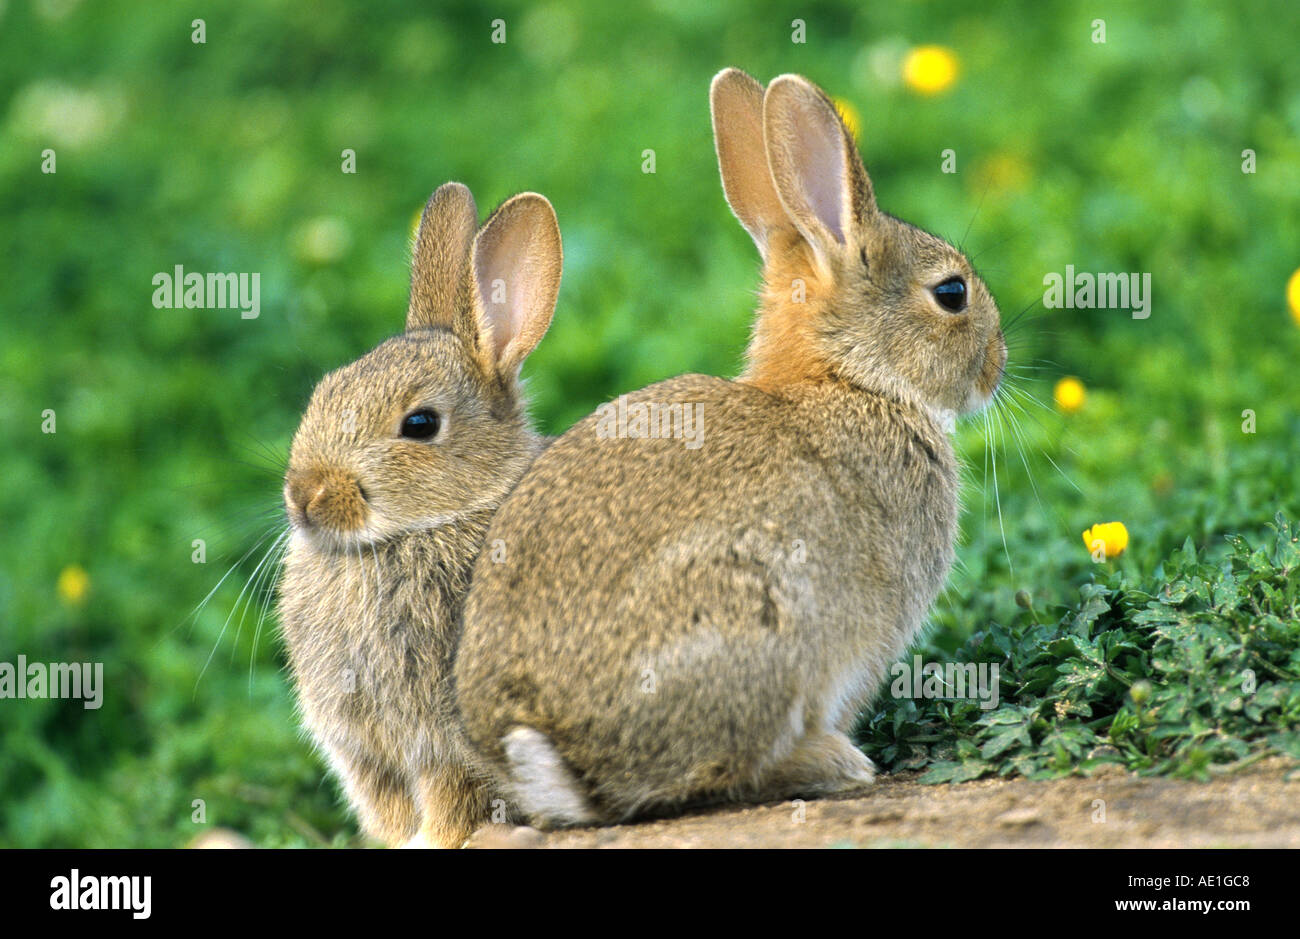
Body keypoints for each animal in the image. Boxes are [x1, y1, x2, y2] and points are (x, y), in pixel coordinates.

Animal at [275, 181, 562, 847]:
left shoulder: (444, 745)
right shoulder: (364, 754)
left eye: (421, 424)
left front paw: (432, 841)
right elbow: (387, 807)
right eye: (325, 390)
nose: (304, 494)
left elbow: (449, 802)